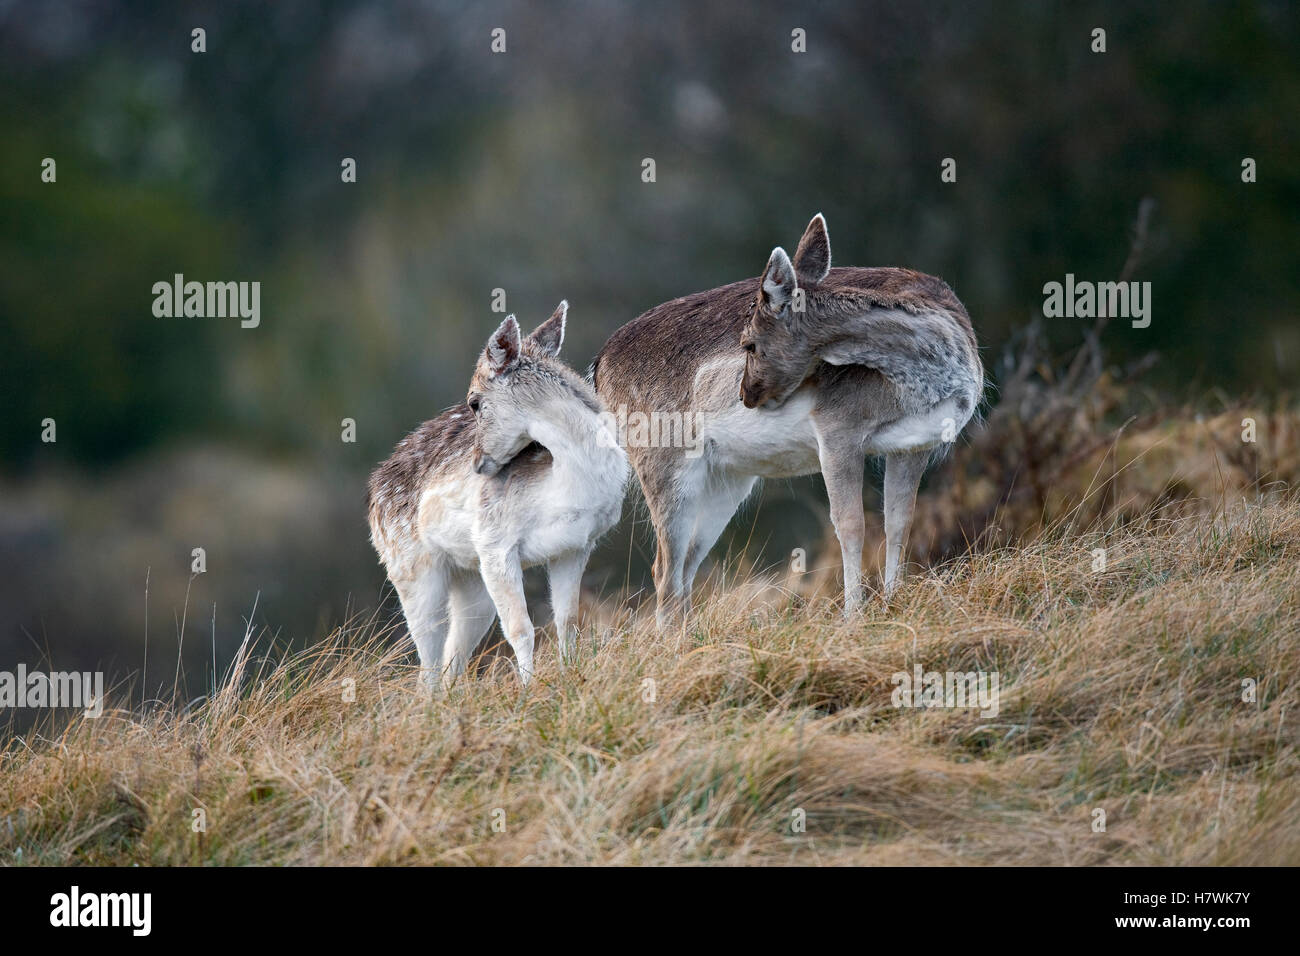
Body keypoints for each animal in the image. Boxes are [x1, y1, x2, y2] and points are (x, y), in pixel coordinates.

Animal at [368, 302, 629, 691]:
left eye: (474, 401)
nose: (478, 463)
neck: (566, 488)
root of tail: (373, 489)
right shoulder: (495, 543)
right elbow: (520, 629)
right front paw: (528, 691)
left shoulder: (577, 546)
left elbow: (567, 620)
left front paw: (570, 675)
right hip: (410, 567)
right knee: (427, 662)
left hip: (470, 579)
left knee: (452, 654)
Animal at [593, 213, 983, 628]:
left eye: (749, 342)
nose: (746, 394)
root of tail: (598, 369)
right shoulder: (837, 426)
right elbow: (850, 524)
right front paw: (853, 616)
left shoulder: (916, 442)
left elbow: (900, 521)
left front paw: (893, 601)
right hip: (663, 457)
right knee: (663, 567)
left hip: (728, 477)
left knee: (686, 562)